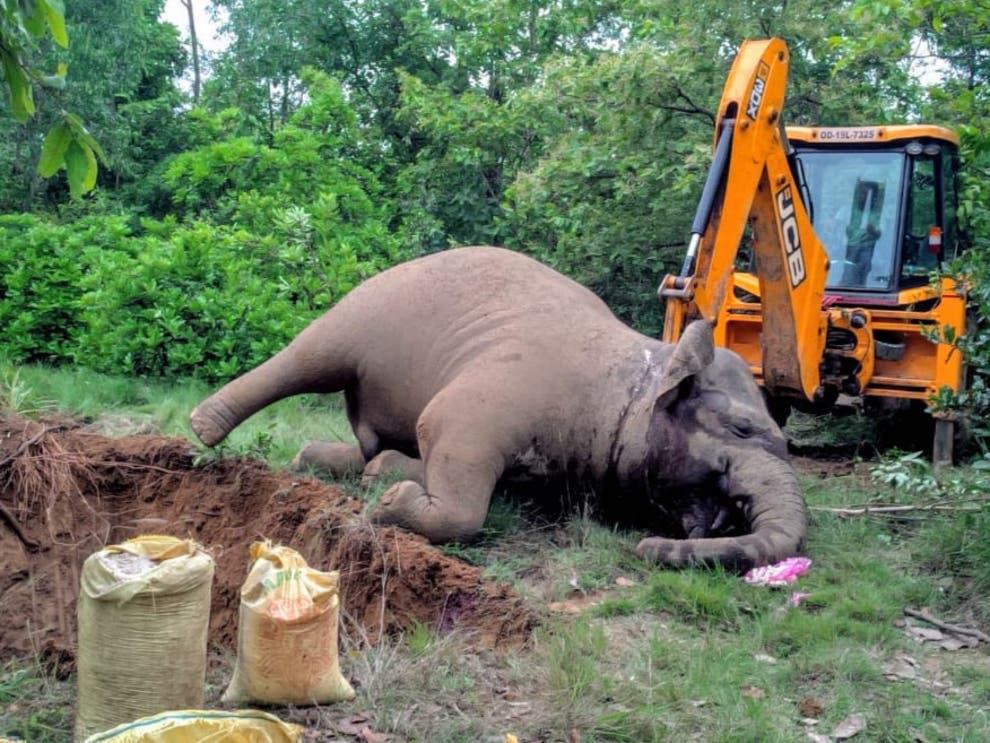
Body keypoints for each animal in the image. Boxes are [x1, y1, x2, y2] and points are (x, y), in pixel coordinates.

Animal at [190, 246, 806, 570]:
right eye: (742, 427)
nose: (648, 548)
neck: (642, 367)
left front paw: (386, 479)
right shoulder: (496, 395)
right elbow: (448, 448)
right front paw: (391, 501)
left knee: (365, 440)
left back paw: (322, 463)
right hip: (360, 314)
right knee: (305, 358)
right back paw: (203, 428)